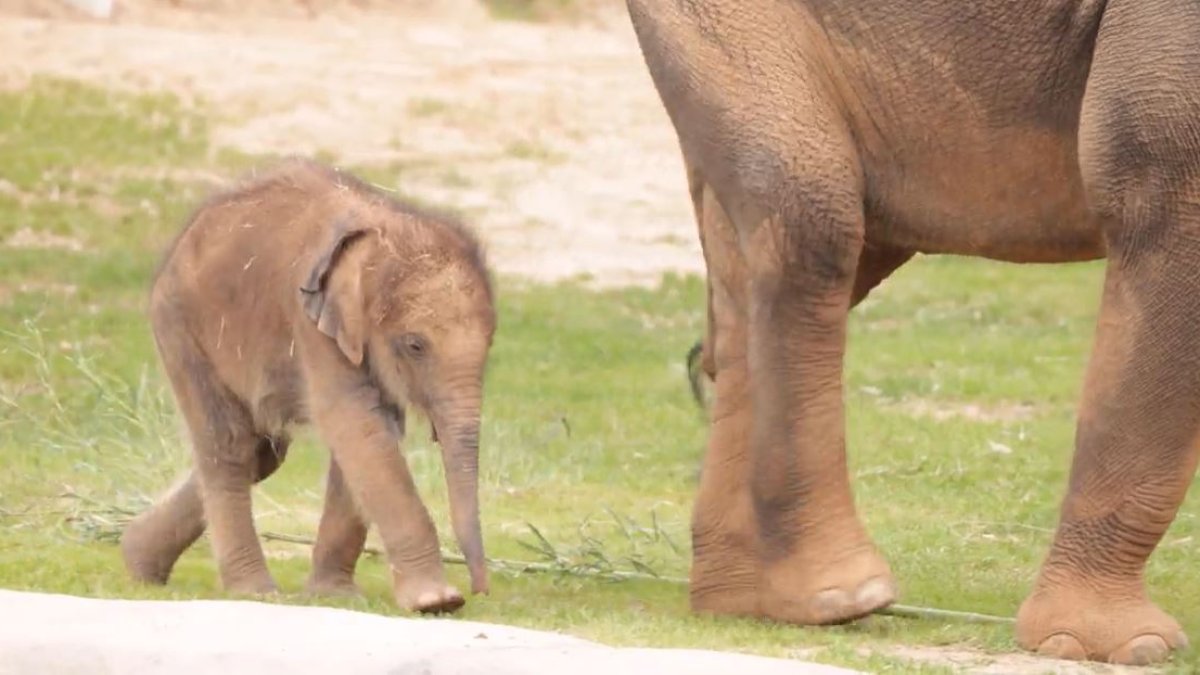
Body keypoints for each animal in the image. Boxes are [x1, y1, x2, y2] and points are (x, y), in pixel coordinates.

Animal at [119, 158, 495, 613]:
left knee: (262, 453)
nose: (479, 590)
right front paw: (435, 602)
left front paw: (335, 595)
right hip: (182, 327)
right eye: (415, 345)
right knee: (229, 446)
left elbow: (369, 432)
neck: (383, 229)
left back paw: (137, 561)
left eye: (491, 342)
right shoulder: (311, 324)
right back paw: (253, 591)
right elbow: (356, 424)